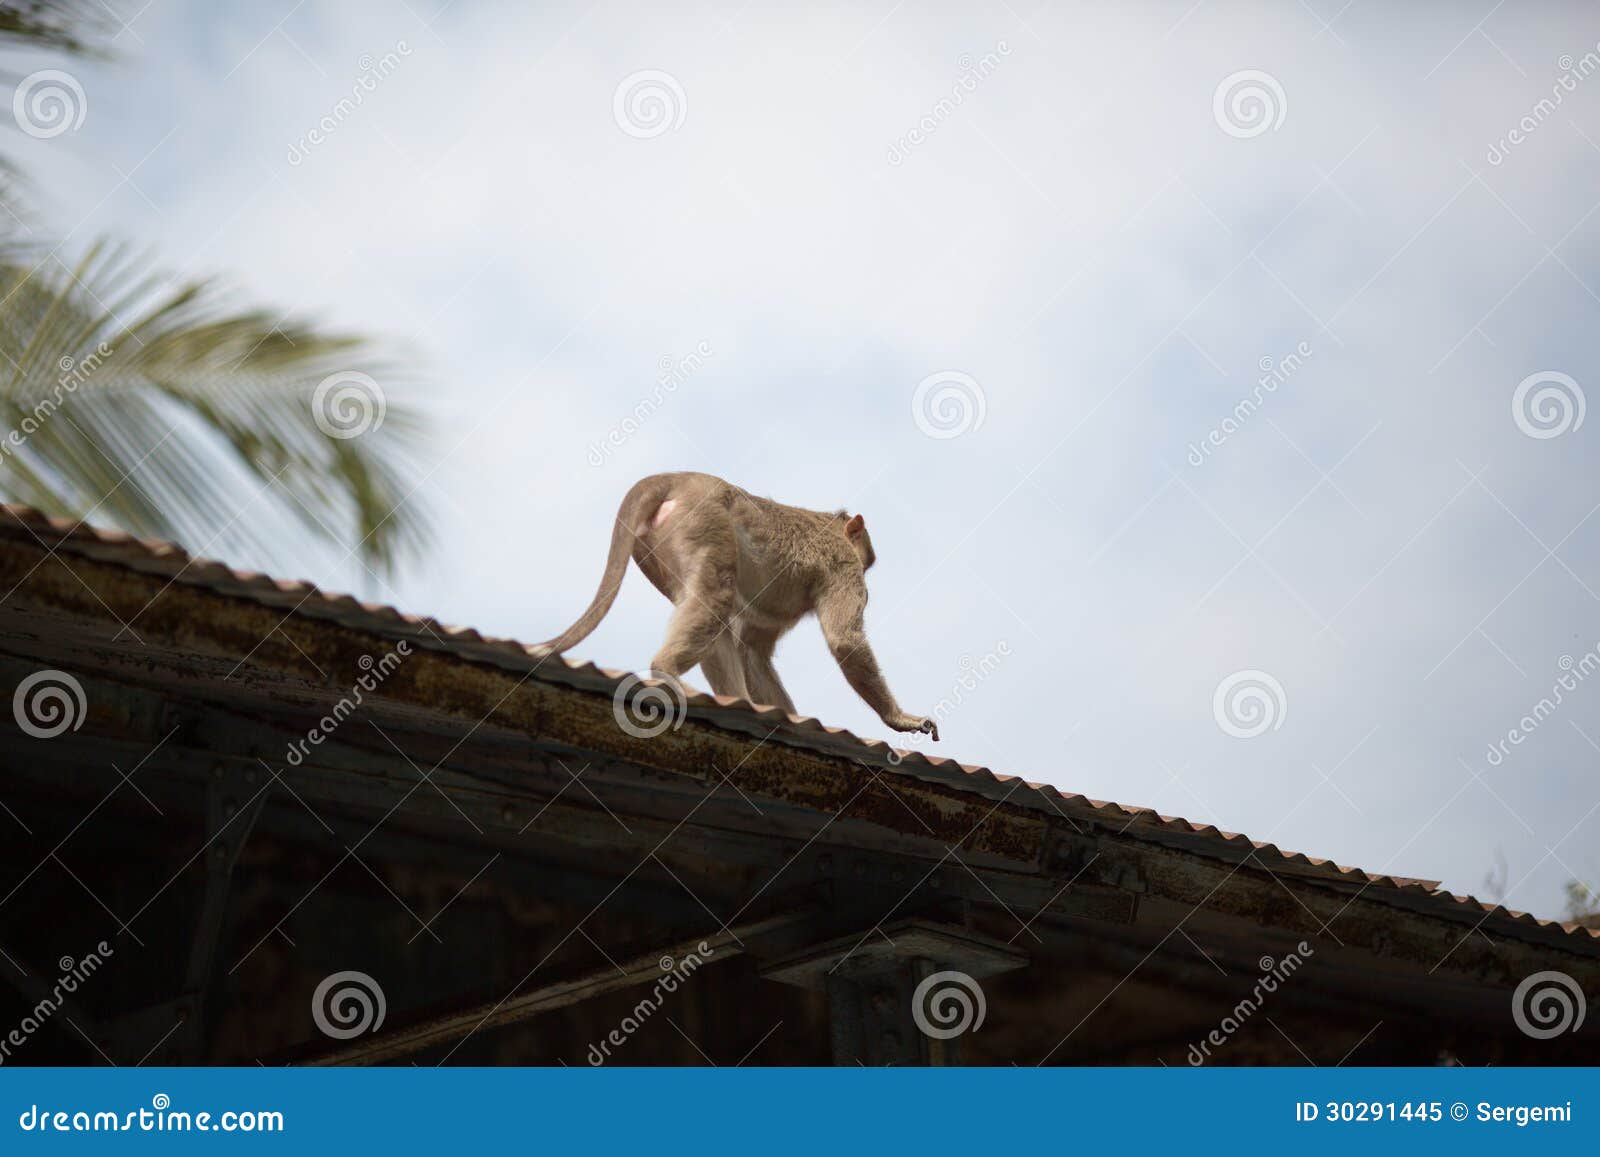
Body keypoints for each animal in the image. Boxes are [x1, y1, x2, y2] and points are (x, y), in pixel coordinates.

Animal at [536, 472, 939, 740]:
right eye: (866, 560)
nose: (868, 571)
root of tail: (677, 479)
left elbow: (752, 650)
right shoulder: (843, 568)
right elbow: (845, 640)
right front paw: (899, 718)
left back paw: (736, 700)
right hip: (703, 520)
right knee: (717, 598)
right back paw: (666, 669)